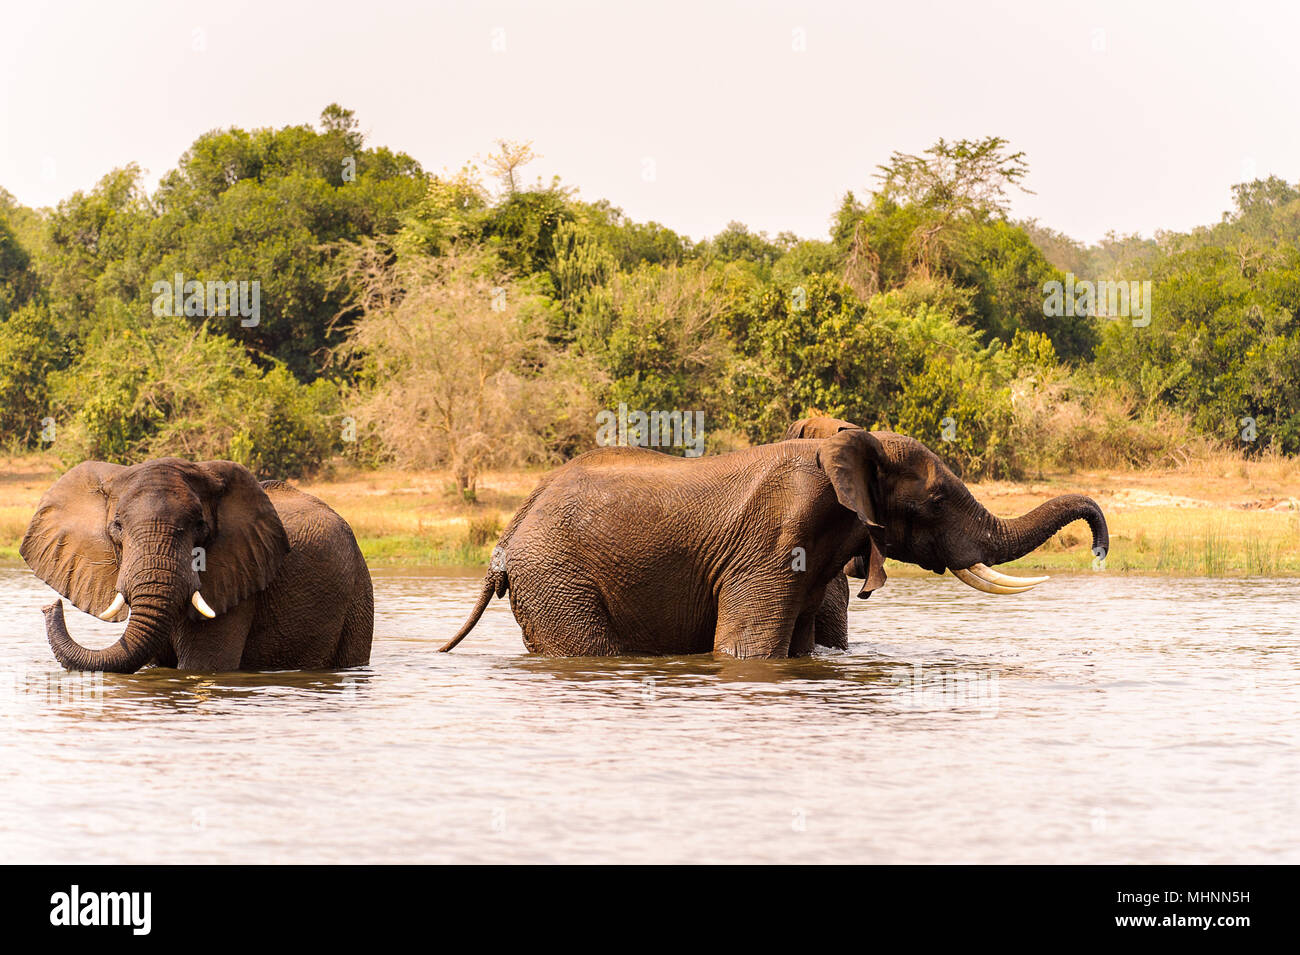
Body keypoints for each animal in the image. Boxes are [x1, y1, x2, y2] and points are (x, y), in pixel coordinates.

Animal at [442, 429, 1109, 659]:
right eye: (938, 500)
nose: (1101, 550)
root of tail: (513, 529)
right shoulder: (773, 544)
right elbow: (748, 650)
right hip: (560, 577)